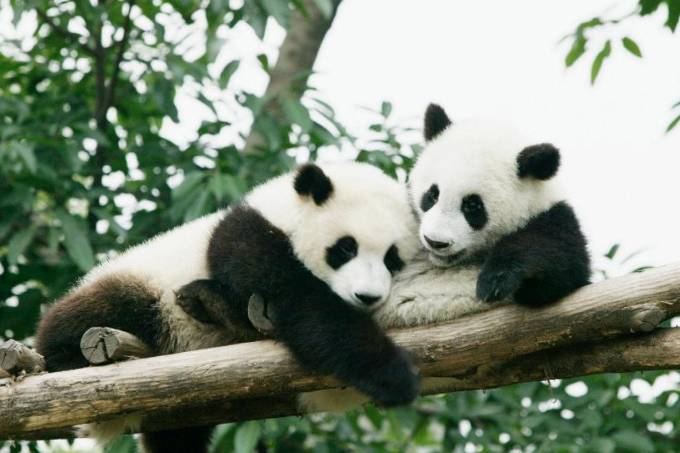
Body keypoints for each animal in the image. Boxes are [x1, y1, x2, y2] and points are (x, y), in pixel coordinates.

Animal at [34, 162, 421, 453]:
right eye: (345, 248)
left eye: (392, 259)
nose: (367, 297)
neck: (284, 213)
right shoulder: (247, 239)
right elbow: (305, 306)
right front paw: (394, 375)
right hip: (141, 289)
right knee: (92, 315)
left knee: (177, 435)